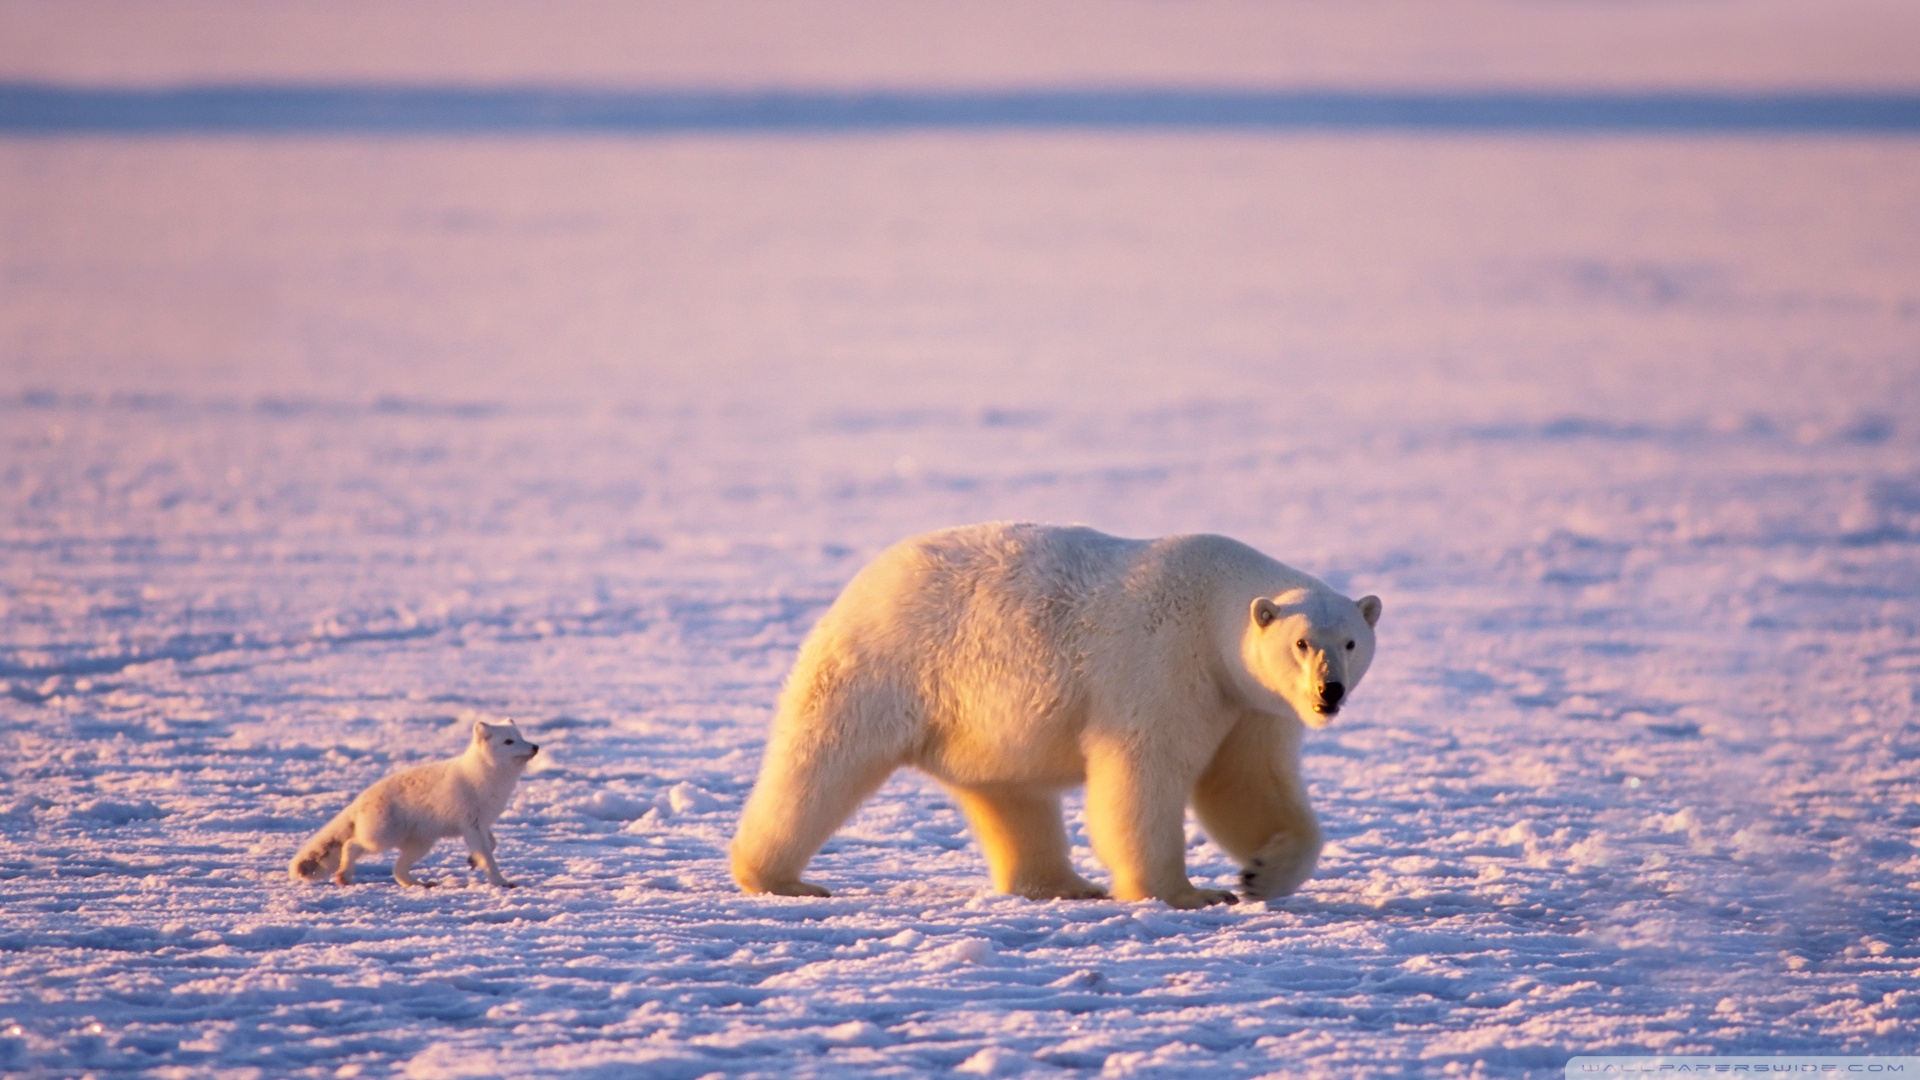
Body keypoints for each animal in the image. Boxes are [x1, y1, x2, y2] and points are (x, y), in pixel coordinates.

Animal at [289, 719, 539, 888]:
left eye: (522, 736)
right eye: (509, 741)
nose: (535, 746)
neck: (486, 778)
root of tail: (360, 799)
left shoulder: (482, 823)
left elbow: (492, 844)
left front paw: (472, 860)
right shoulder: (472, 824)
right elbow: (488, 855)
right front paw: (500, 881)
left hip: (421, 844)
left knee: (397, 869)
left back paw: (419, 884)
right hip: (382, 838)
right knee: (351, 844)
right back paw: (344, 875)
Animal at [730, 522, 1381, 909]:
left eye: (1351, 641)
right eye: (1301, 642)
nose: (1328, 692)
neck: (1213, 603)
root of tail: (863, 581)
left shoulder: (1250, 703)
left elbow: (1246, 783)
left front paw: (1260, 872)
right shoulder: (1163, 664)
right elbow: (1143, 775)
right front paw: (1186, 894)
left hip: (979, 722)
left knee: (1010, 796)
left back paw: (1063, 884)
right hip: (887, 667)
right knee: (822, 763)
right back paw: (780, 878)